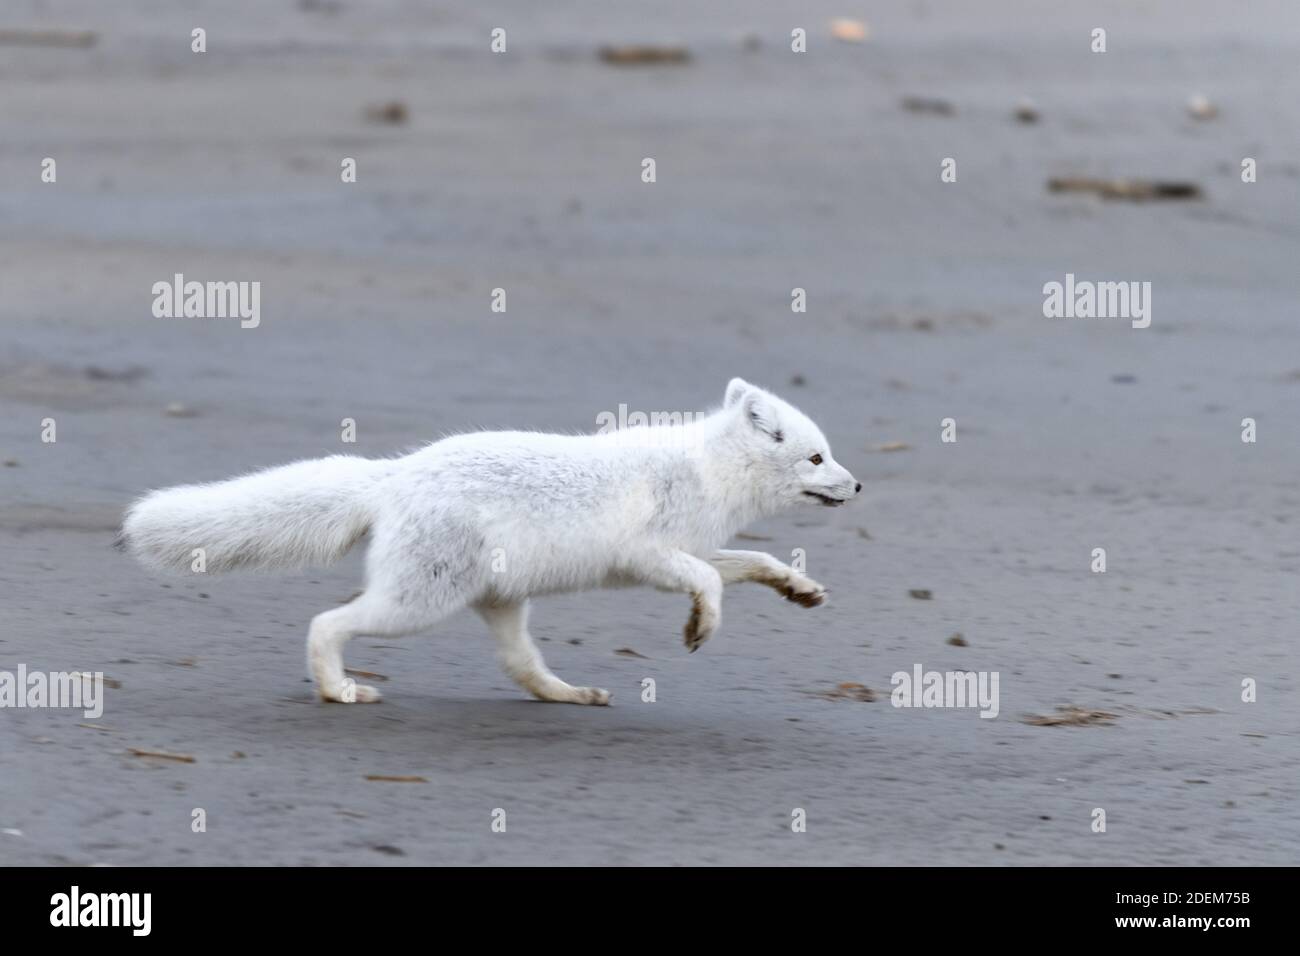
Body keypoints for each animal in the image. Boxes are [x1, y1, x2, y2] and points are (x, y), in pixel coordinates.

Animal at [119, 378, 860, 706]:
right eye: (817, 457)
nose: (857, 486)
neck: (707, 470)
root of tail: (396, 474)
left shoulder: (696, 549)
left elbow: (754, 560)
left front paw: (800, 589)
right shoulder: (651, 556)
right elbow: (709, 584)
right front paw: (700, 628)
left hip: (498, 602)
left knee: (520, 667)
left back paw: (571, 695)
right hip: (416, 602)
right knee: (325, 622)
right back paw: (338, 690)